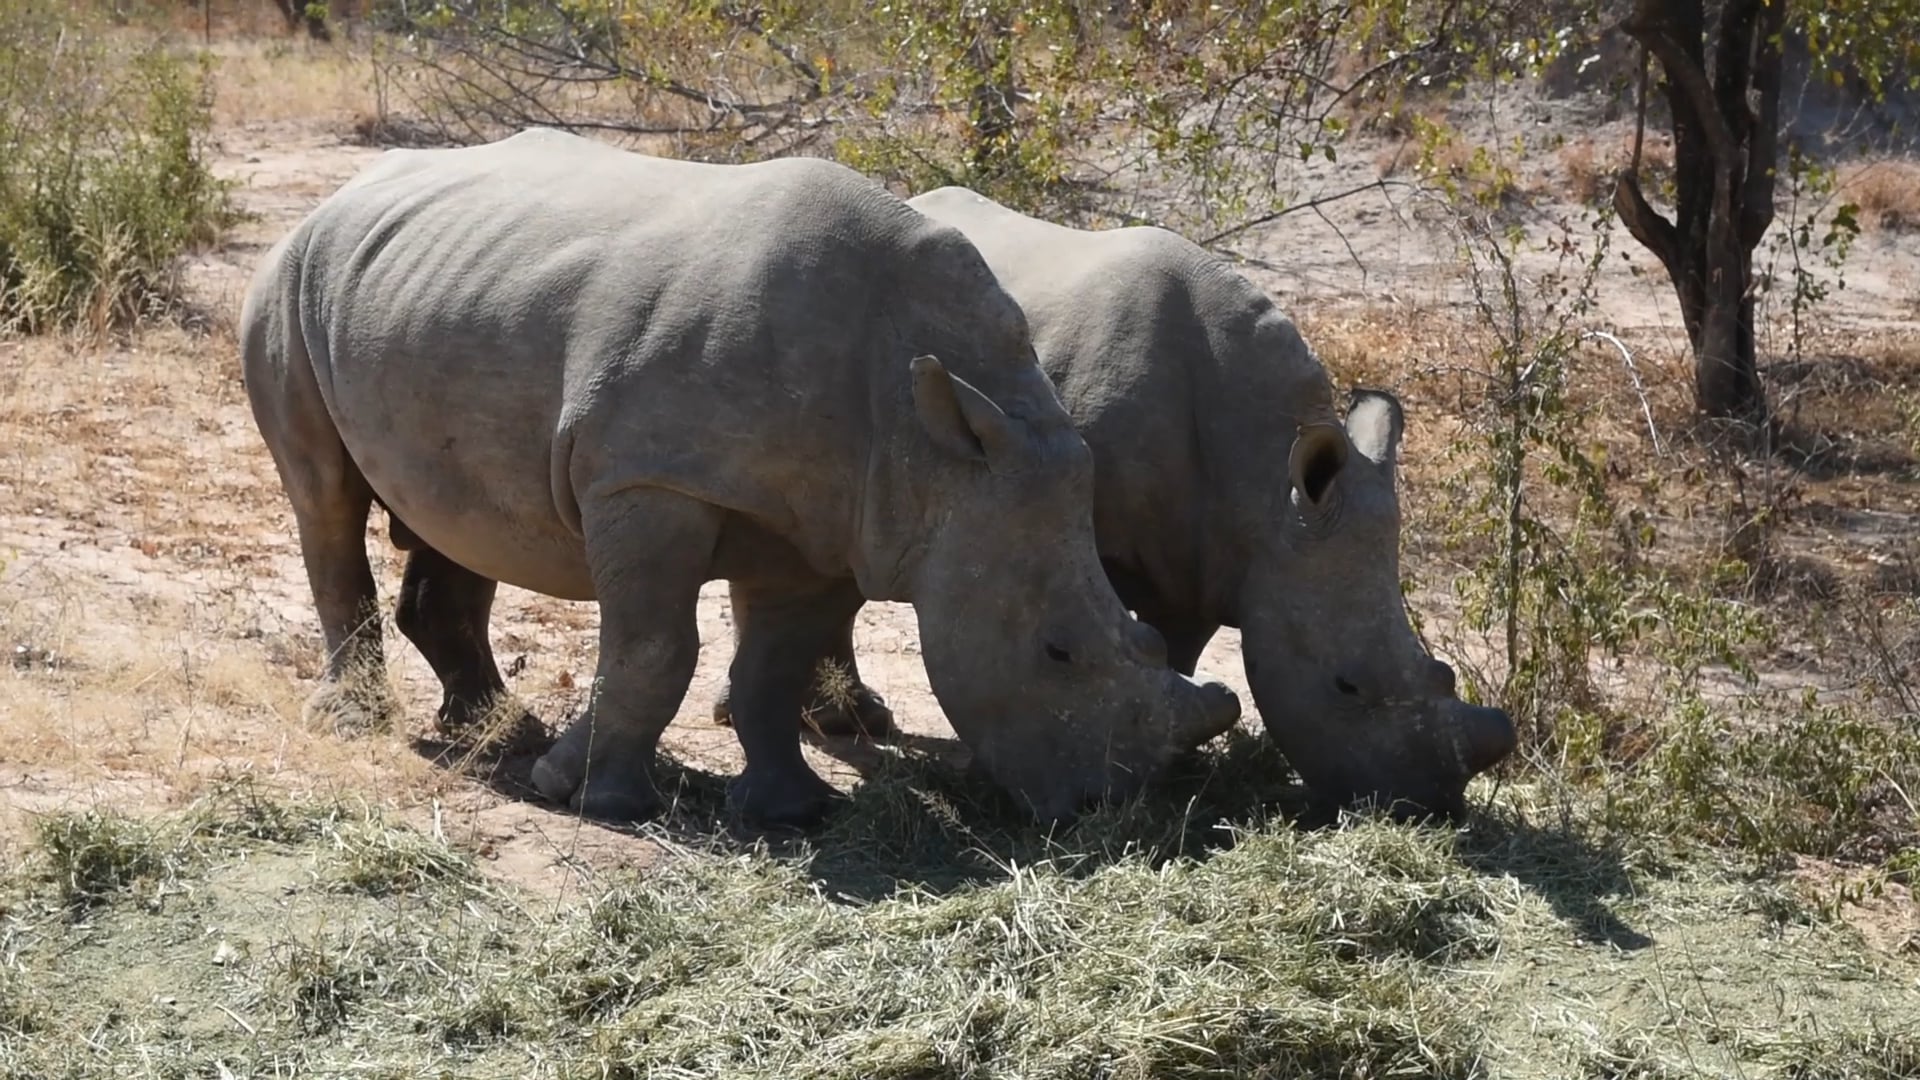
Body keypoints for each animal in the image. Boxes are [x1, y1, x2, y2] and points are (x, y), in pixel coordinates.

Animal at [238, 130, 1241, 827]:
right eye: (1056, 653)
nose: (1101, 812)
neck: (935, 438)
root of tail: (334, 196)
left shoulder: (837, 522)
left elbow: (773, 664)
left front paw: (791, 811)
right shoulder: (649, 481)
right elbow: (654, 647)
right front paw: (589, 797)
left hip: (431, 288)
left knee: (458, 513)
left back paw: (499, 733)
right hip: (287, 280)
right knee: (324, 497)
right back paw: (361, 724)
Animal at [716, 186, 1516, 820]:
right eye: (1347, 687)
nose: (1430, 806)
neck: (1267, 489)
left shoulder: (1206, 556)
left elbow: (1173, 649)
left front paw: (1177, 759)